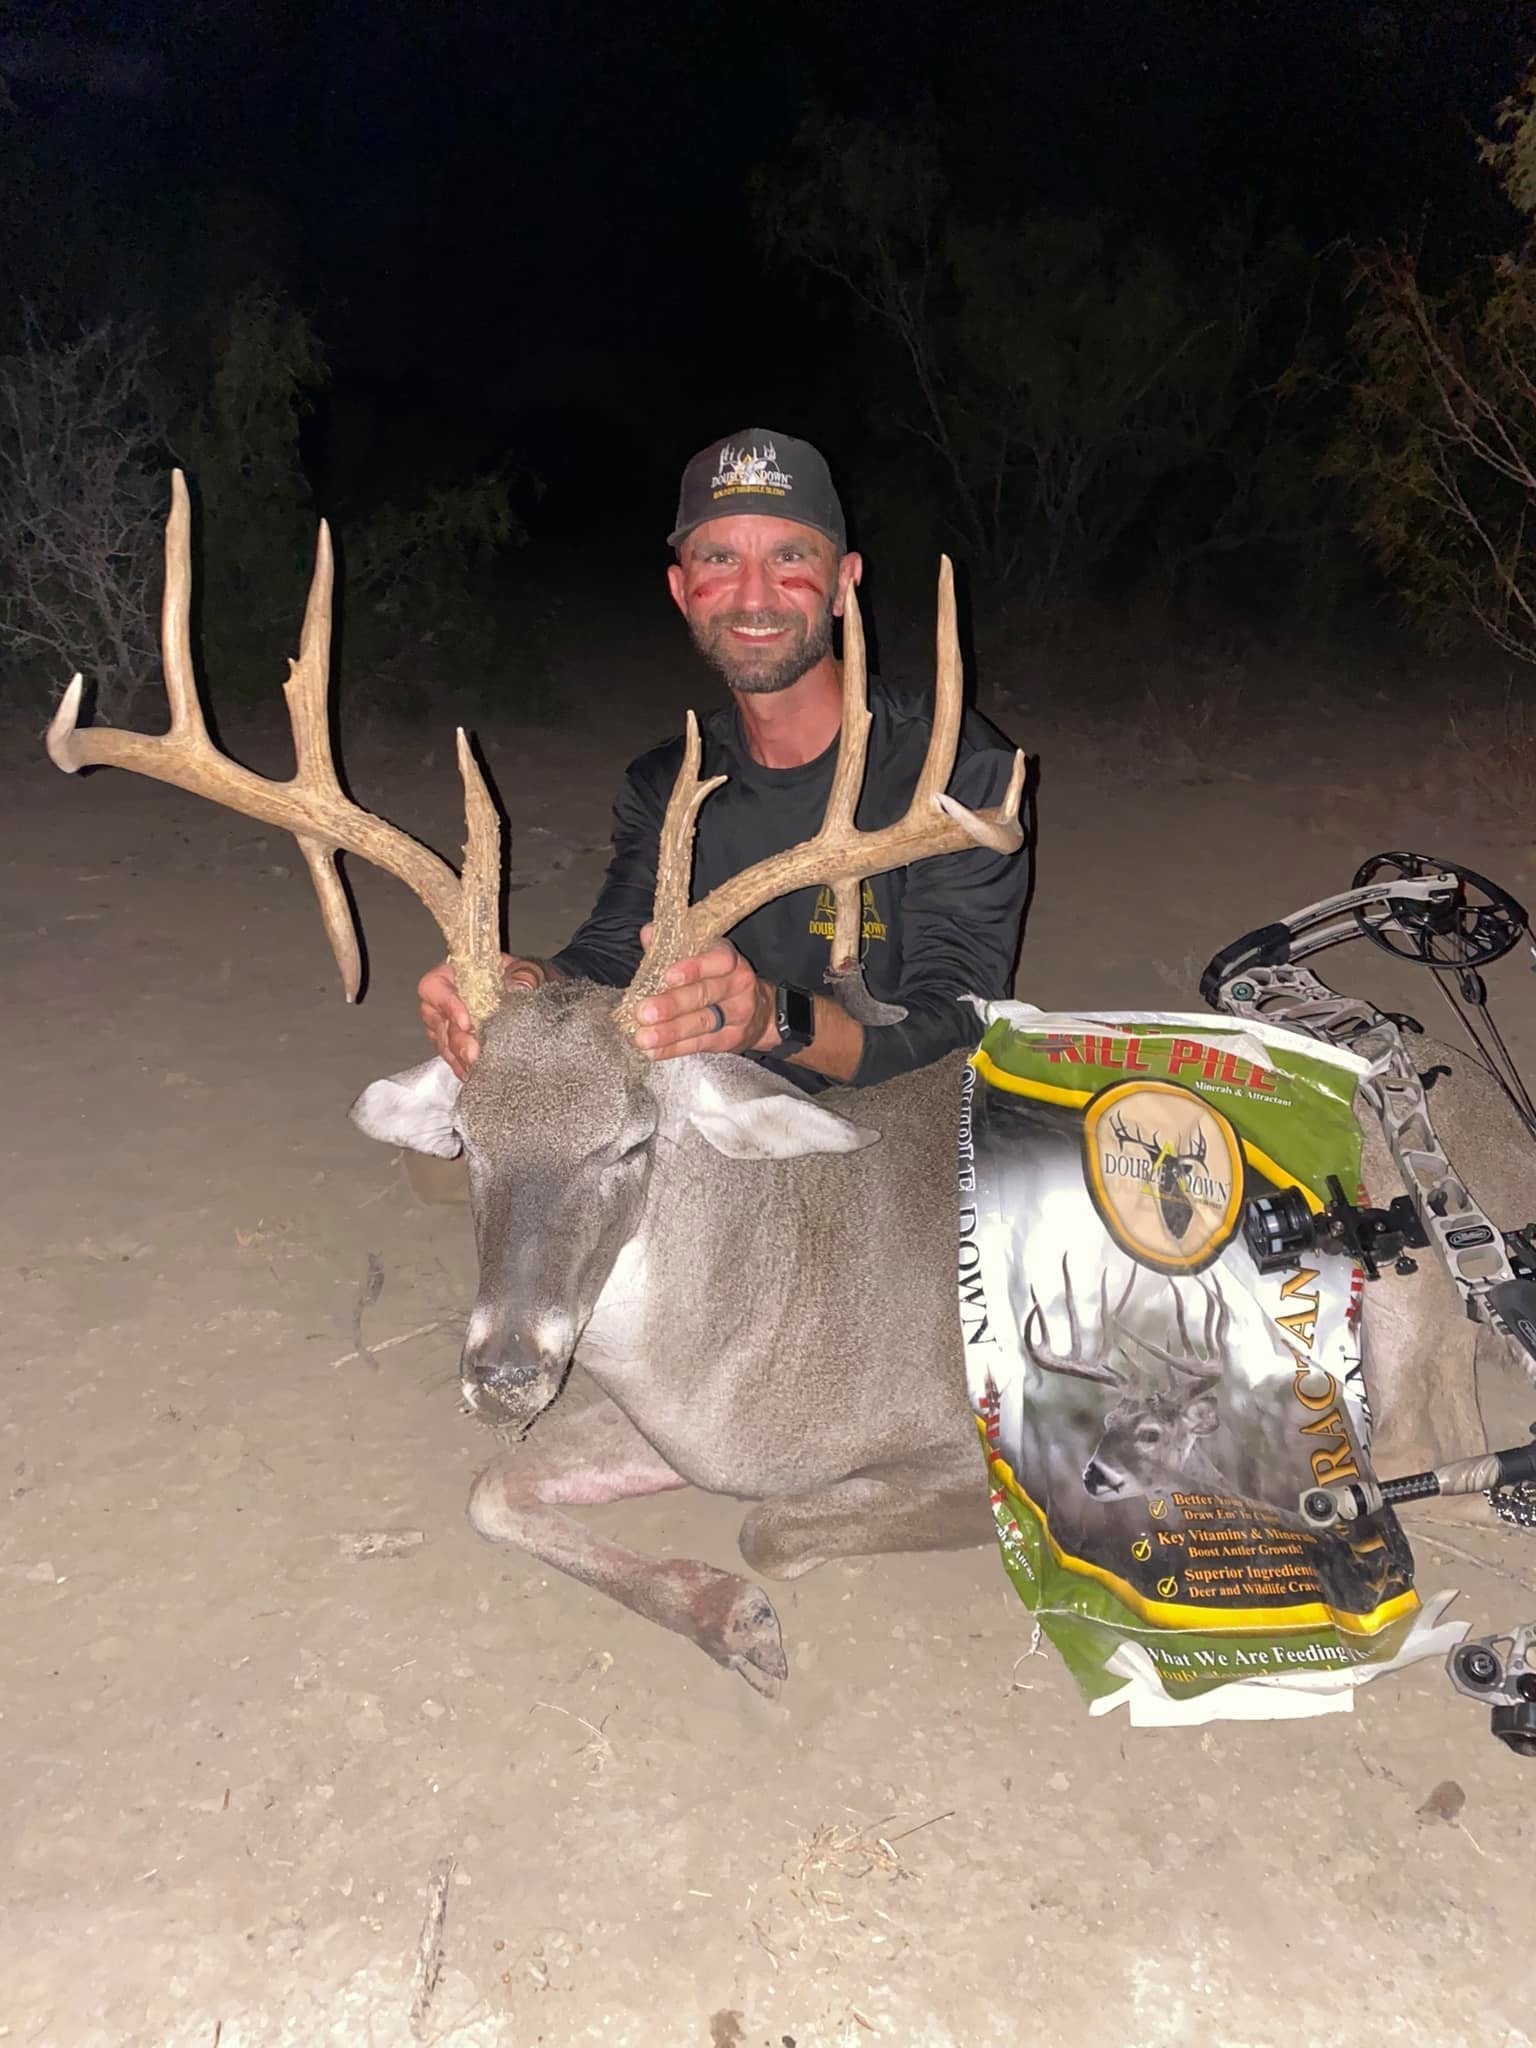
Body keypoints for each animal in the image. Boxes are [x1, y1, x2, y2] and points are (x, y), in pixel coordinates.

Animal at [44, 475, 1524, 1693]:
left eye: (631, 1142)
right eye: (466, 1136)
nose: (506, 1365)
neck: (743, 1342)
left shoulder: (966, 1433)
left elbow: (771, 1528)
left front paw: (754, 1610)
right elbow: (492, 1492)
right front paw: (722, 1616)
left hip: (1406, 1316)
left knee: (1444, 1477)